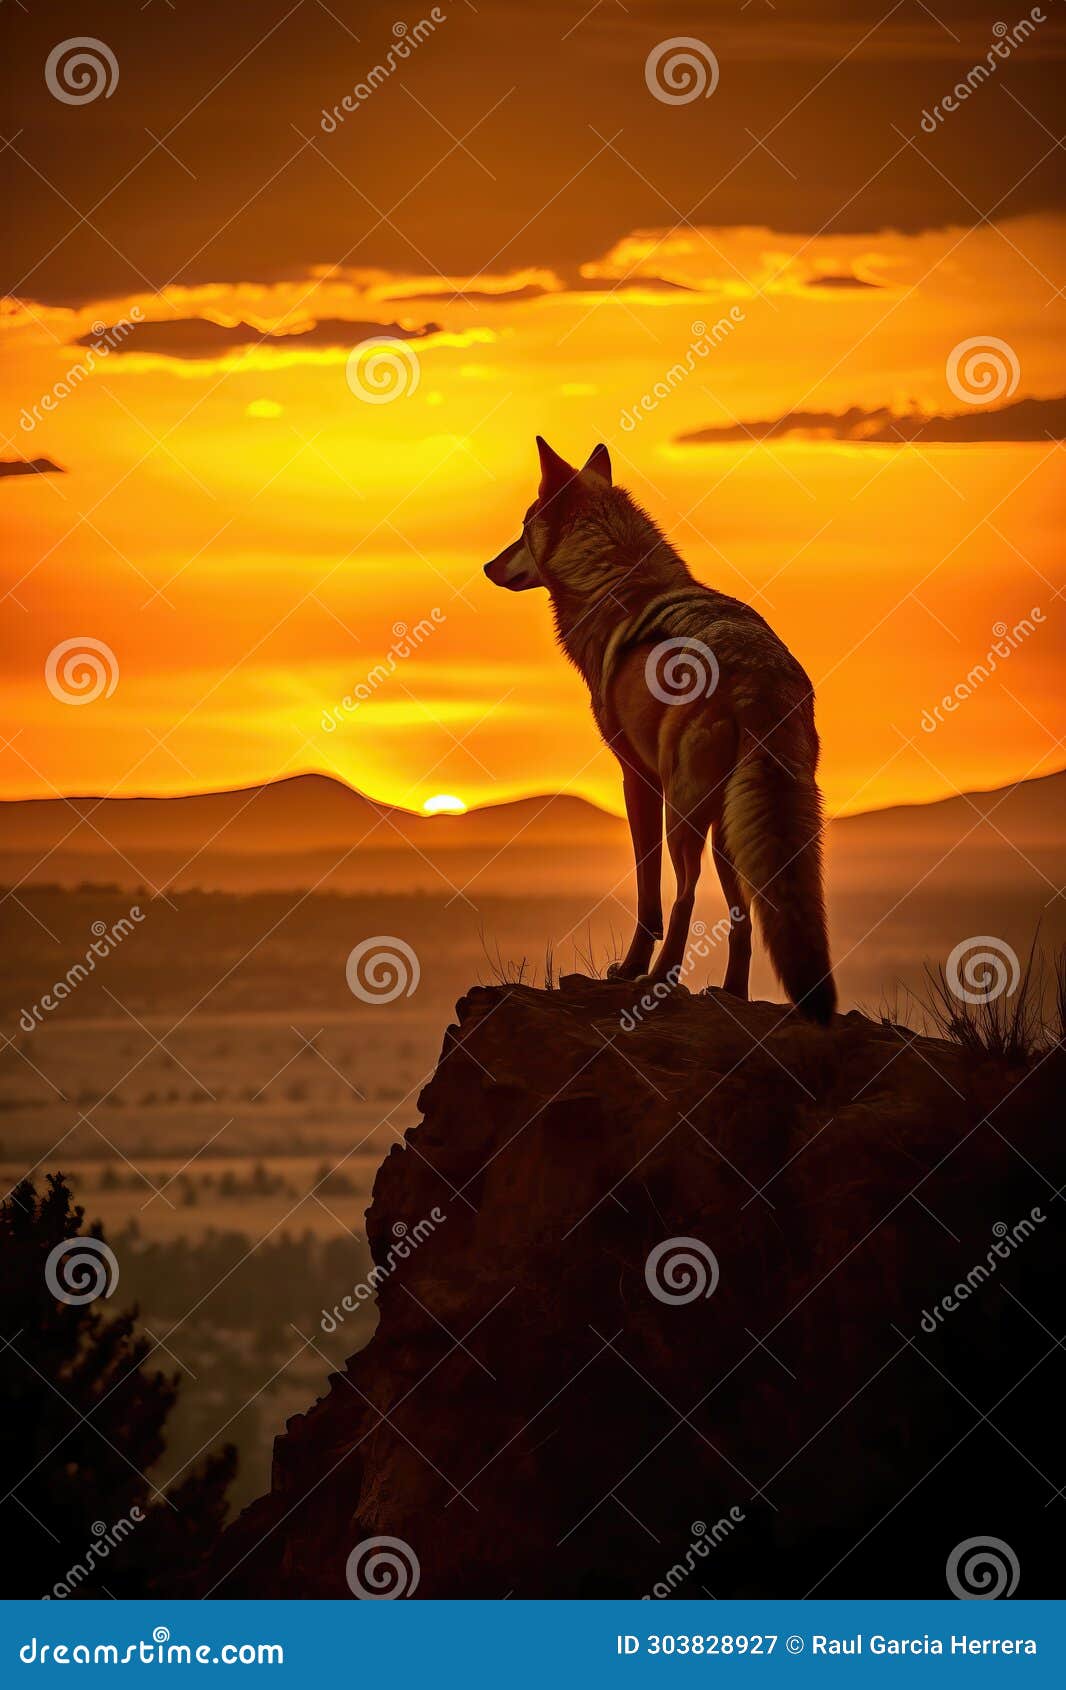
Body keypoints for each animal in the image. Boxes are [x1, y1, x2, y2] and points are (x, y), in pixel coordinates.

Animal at [484, 437, 836, 1023]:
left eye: (524, 525)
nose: (487, 564)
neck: (612, 578)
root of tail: (758, 677)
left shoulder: (635, 779)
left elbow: (648, 893)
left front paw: (627, 969)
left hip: (686, 814)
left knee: (686, 896)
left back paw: (658, 980)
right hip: (732, 827)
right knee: (743, 915)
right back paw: (731, 994)